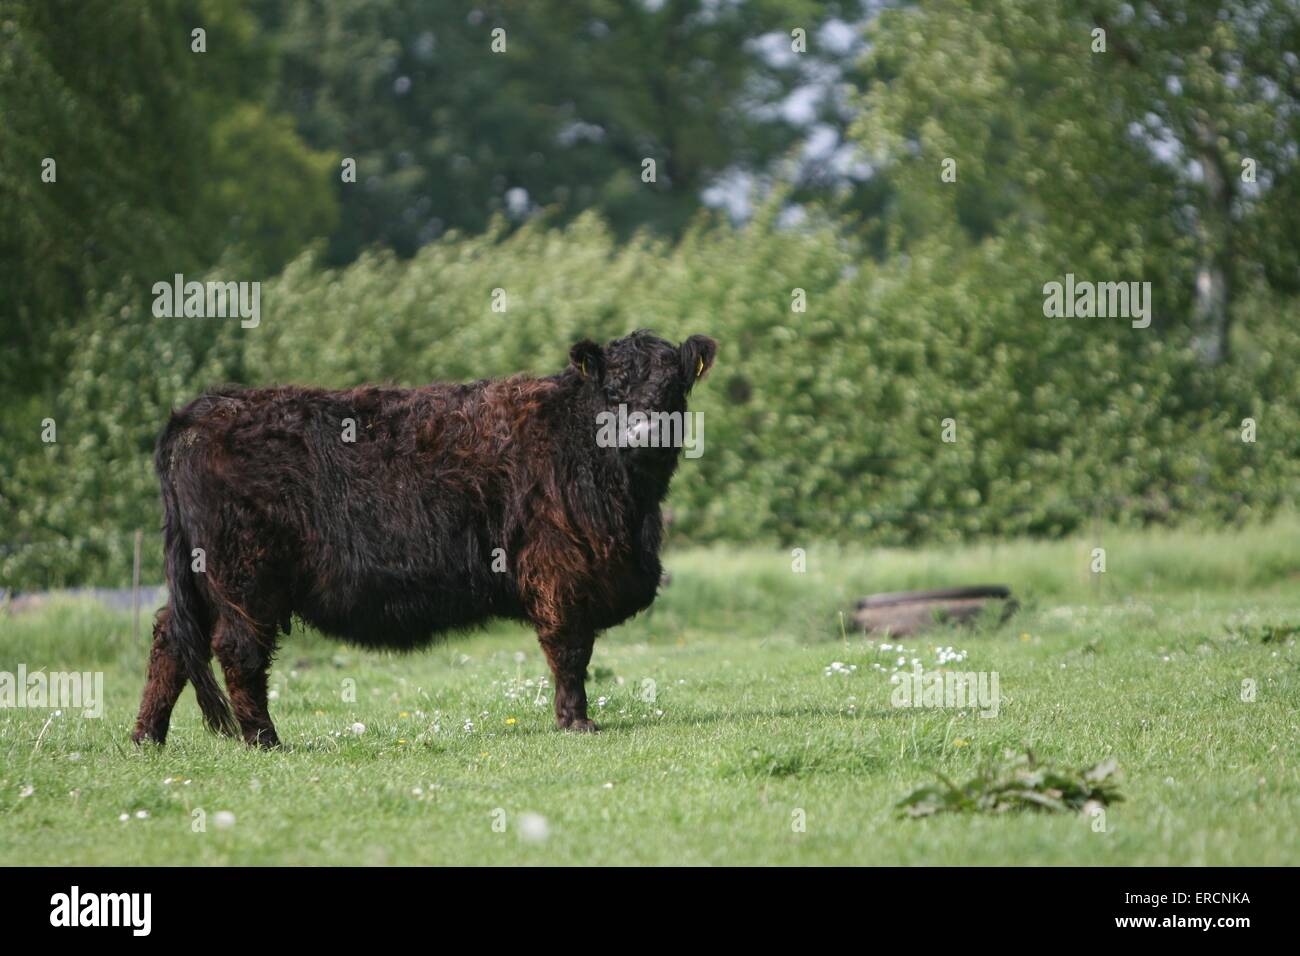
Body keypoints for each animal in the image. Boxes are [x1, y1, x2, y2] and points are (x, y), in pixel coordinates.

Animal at [132, 330, 717, 746]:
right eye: (613, 389)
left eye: (672, 388)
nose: (643, 433)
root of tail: (207, 408)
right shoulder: (560, 571)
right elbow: (570, 651)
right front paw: (576, 722)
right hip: (243, 576)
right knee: (236, 650)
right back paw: (264, 740)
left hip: (204, 578)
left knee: (170, 638)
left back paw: (147, 738)